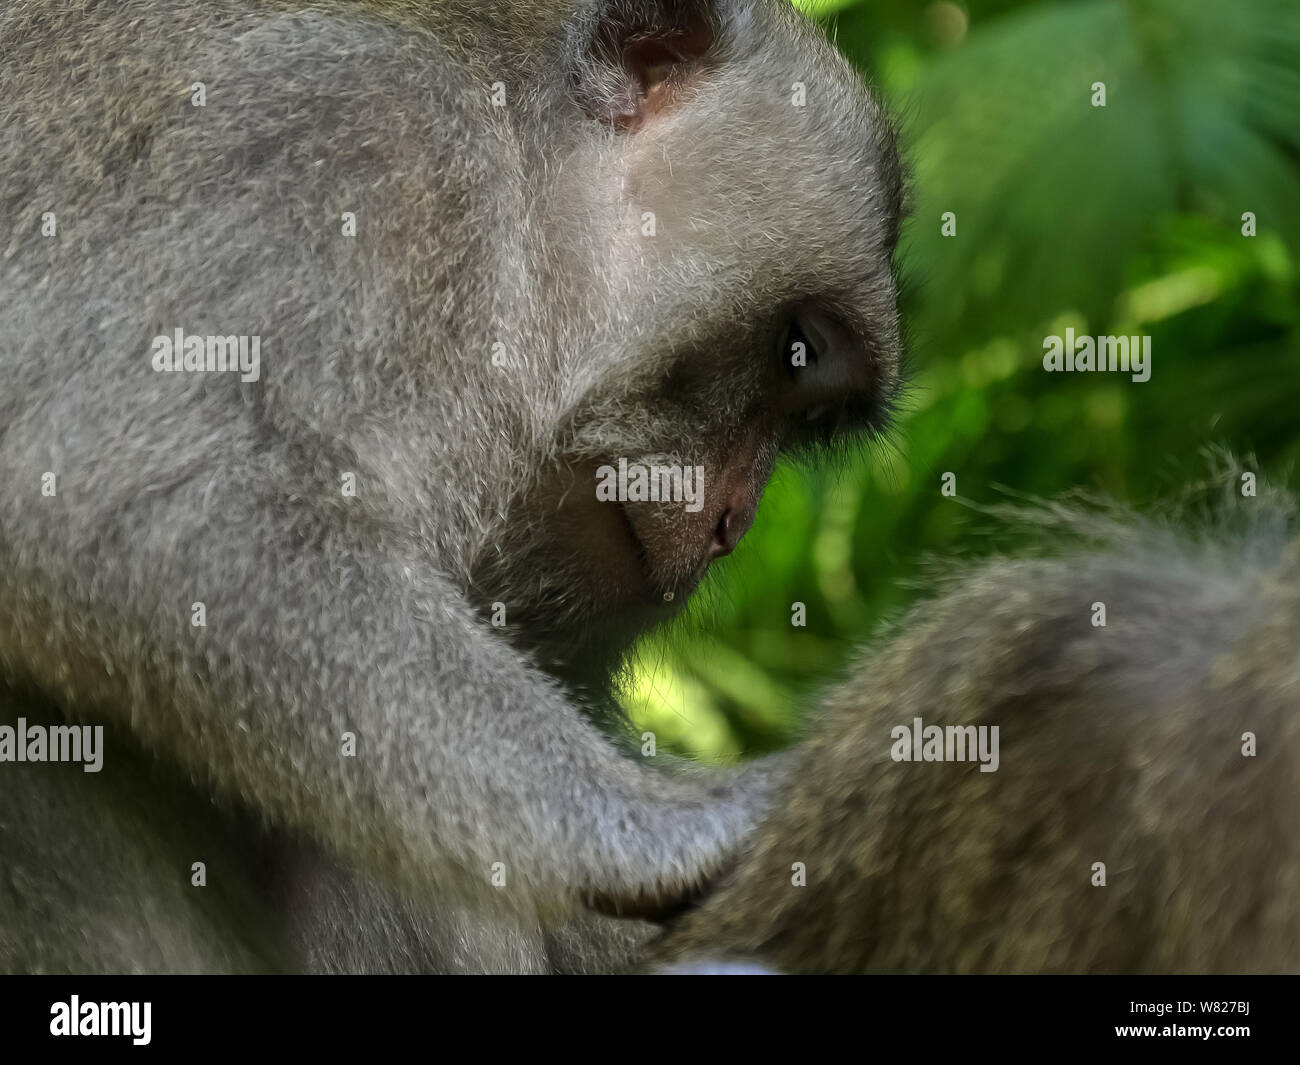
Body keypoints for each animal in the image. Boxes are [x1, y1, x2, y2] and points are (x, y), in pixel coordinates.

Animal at [0, 0, 903, 972]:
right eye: (795, 347)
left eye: (810, 418)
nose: (732, 520)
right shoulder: (357, 150)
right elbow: (124, 495)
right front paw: (663, 826)